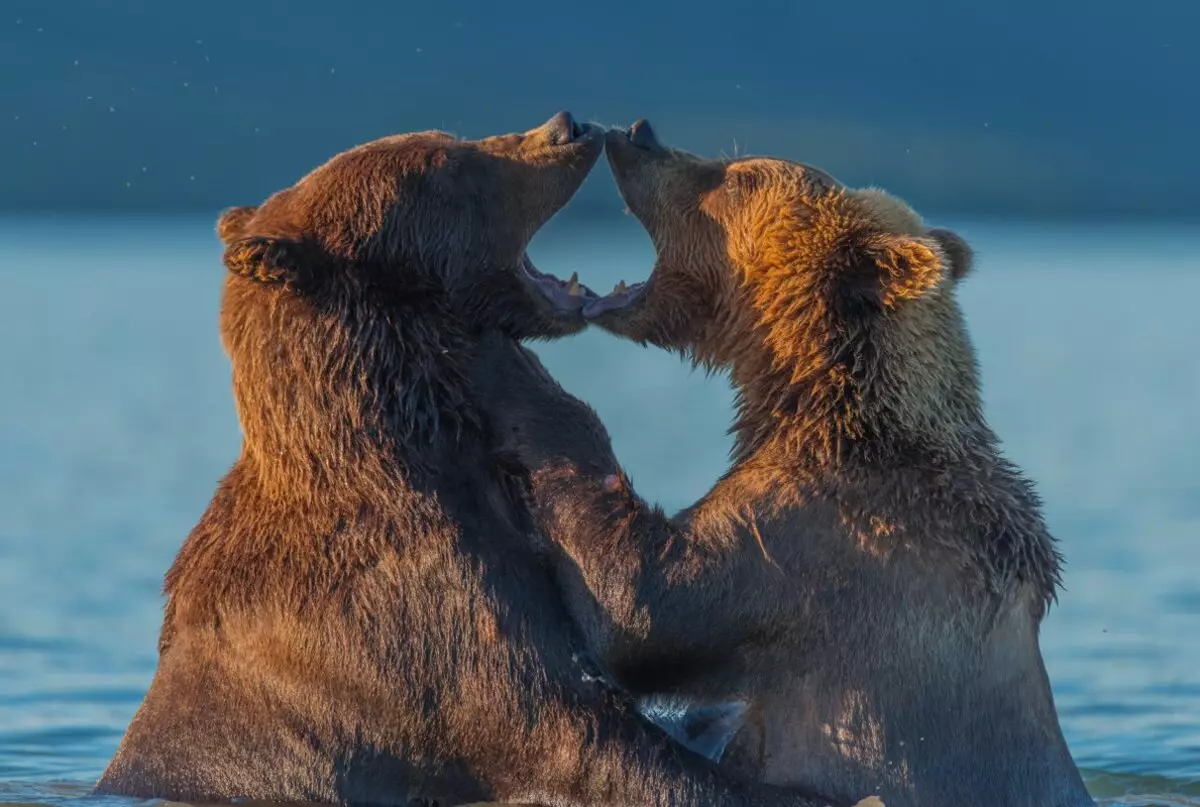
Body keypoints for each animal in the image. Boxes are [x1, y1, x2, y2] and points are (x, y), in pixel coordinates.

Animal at [93, 111, 844, 806]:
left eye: (450, 140)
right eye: (447, 166)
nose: (569, 125)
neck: (416, 443)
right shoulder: (411, 621)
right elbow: (575, 734)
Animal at [470, 120, 1099, 806]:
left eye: (742, 175)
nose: (637, 133)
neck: (823, 403)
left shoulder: (819, 540)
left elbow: (642, 602)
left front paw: (521, 375)